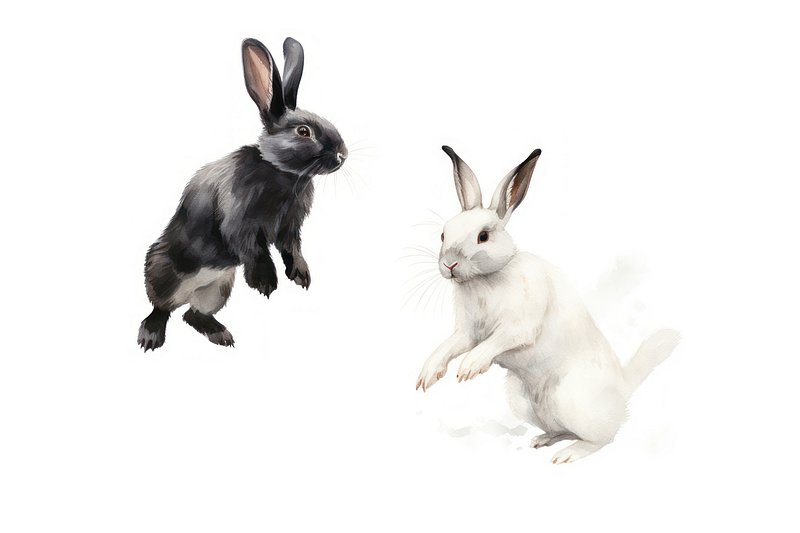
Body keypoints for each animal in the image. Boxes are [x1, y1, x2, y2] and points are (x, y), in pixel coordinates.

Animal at [138, 37, 347, 351]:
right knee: (162, 308)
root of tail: (187, 293)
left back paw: (220, 335)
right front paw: (265, 282)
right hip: (163, 274)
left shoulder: (290, 225)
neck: (282, 174)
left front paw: (301, 275)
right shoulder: (239, 220)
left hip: (219, 287)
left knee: (192, 314)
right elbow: (253, 248)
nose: (342, 155)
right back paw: (150, 335)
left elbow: (291, 248)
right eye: (303, 131)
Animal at [415, 146, 679, 463]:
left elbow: (495, 341)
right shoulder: (467, 333)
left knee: (602, 438)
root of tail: (622, 390)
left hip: (572, 398)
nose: (449, 264)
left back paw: (568, 455)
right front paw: (427, 374)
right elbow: (448, 346)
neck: (484, 280)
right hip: (524, 401)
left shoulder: (519, 326)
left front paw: (470, 367)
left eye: (483, 236)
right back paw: (542, 440)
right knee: (563, 430)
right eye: (443, 234)